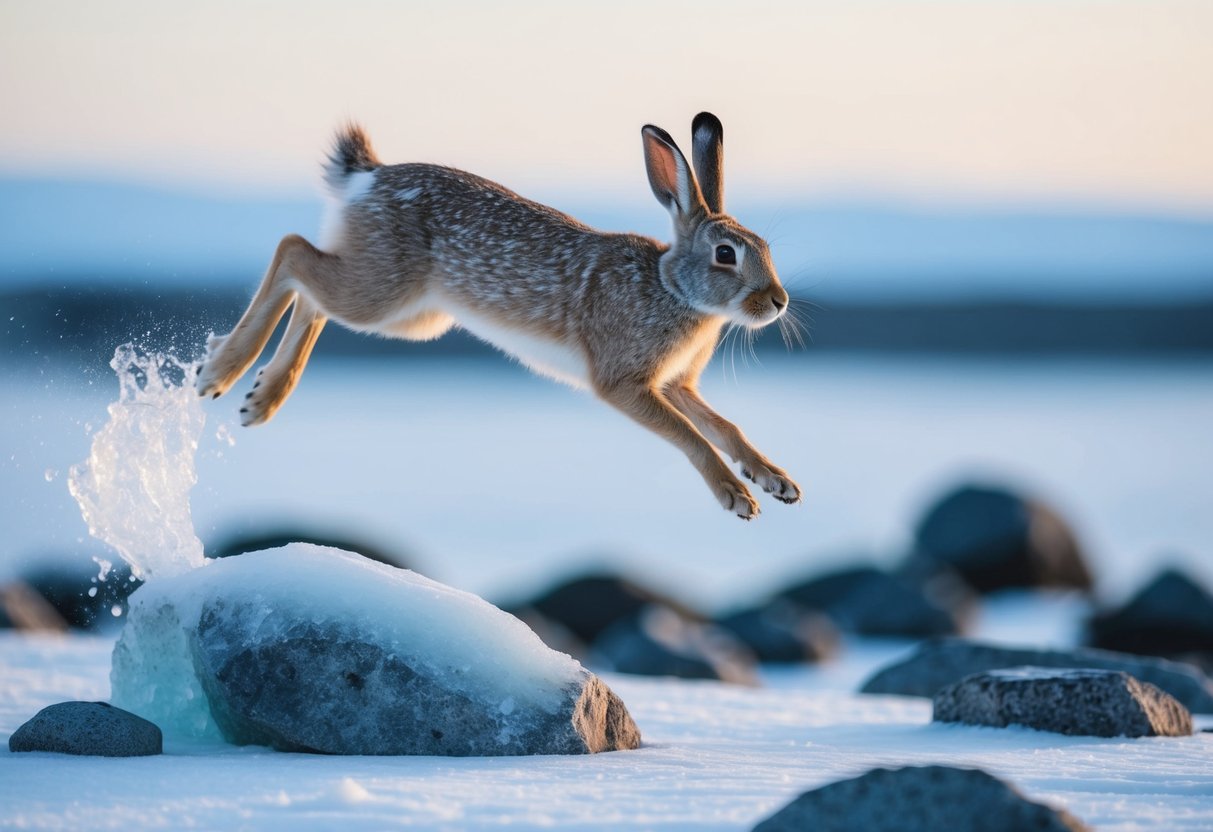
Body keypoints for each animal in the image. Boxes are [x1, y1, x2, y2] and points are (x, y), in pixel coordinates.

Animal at [196, 112, 801, 519]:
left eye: (766, 247)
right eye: (726, 255)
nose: (778, 302)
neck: (674, 289)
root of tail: (370, 176)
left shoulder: (675, 384)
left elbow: (723, 425)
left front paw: (775, 480)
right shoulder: (625, 383)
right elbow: (690, 435)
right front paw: (736, 496)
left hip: (408, 314)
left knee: (311, 292)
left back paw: (263, 398)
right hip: (383, 292)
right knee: (293, 252)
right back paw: (220, 372)